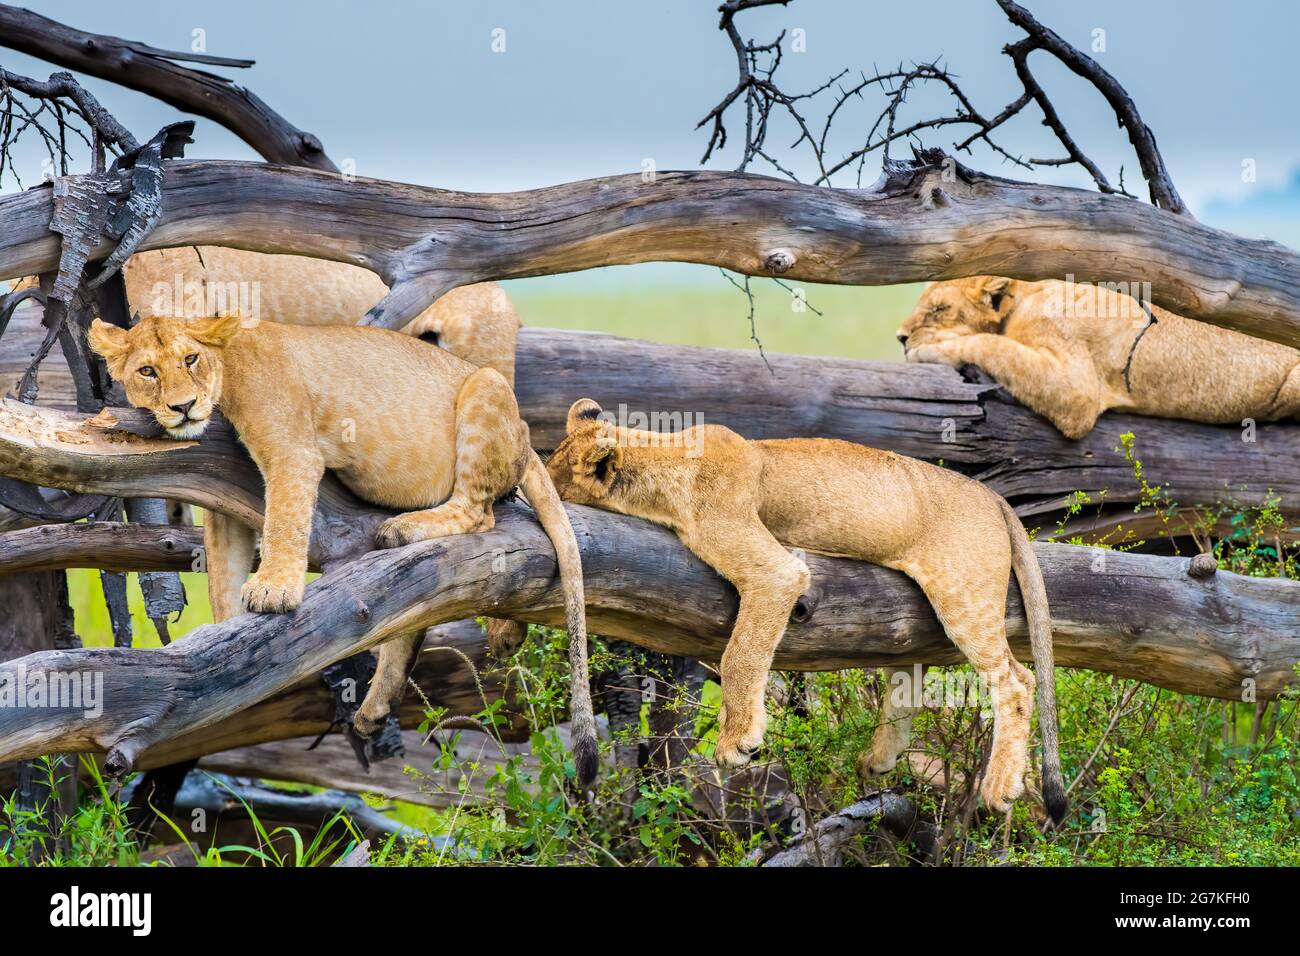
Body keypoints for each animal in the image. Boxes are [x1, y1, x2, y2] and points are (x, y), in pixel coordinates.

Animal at [86, 313, 598, 784]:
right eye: (147, 371)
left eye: (191, 359)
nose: (185, 407)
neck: (226, 372)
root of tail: (528, 438)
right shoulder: (222, 494)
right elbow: (221, 573)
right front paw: (226, 638)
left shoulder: (293, 451)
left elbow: (285, 521)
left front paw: (273, 593)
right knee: (418, 611)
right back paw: (375, 707)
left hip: (486, 387)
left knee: (479, 511)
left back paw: (405, 530)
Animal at [541, 398, 1067, 821]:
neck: (661, 460)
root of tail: (993, 496)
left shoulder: (776, 570)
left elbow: (740, 653)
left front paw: (737, 742)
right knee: (910, 670)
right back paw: (878, 758)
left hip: (962, 594)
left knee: (1017, 681)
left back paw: (998, 788)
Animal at [898, 276, 1300, 439]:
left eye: (938, 309)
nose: (900, 337)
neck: (1026, 295)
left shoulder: (1077, 391)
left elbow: (992, 345)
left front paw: (927, 349)